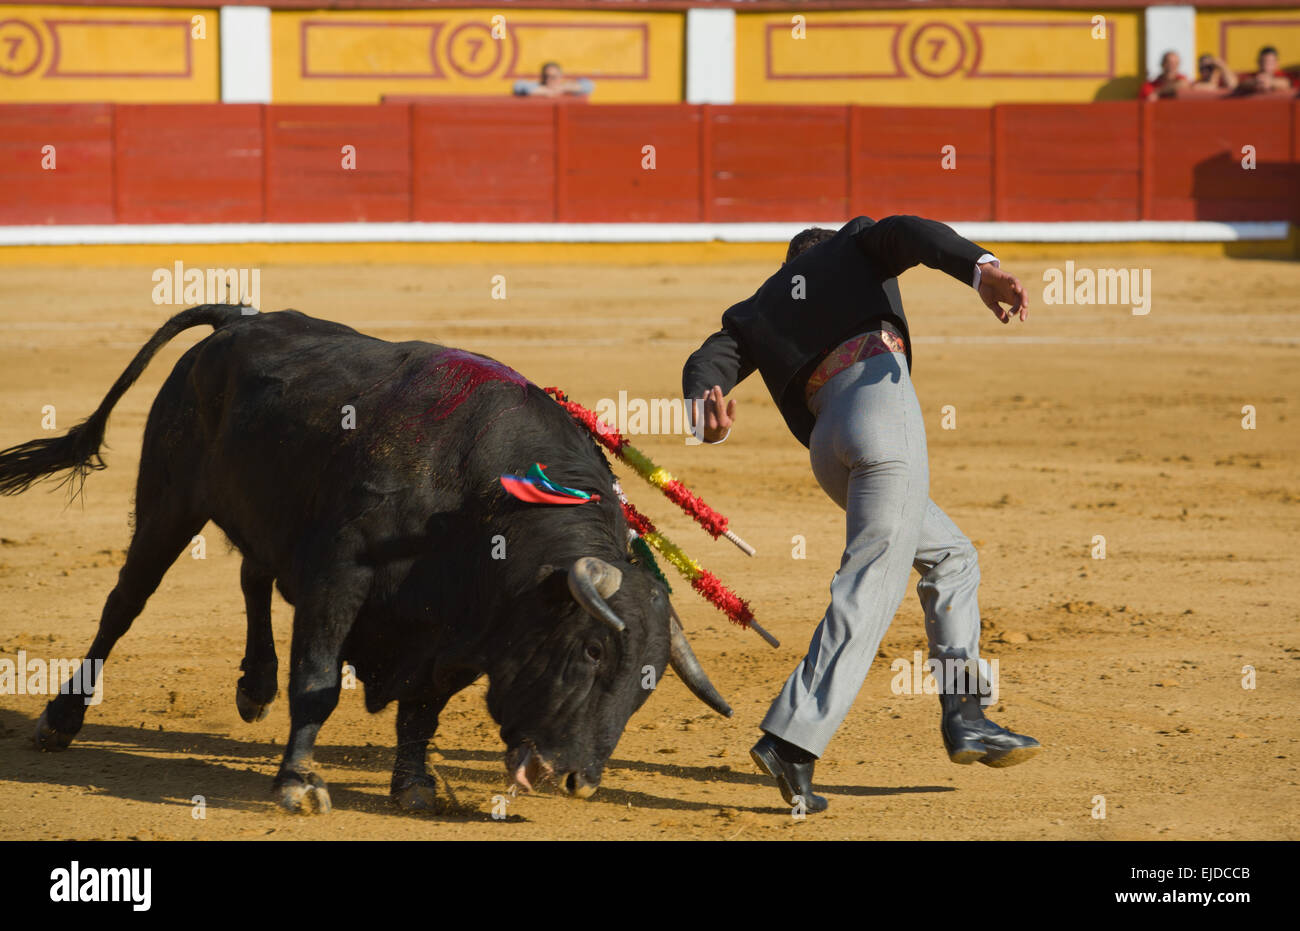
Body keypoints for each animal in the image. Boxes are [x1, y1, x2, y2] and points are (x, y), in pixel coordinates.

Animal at [0, 305, 731, 814]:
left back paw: (254, 685)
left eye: (647, 683)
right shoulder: (341, 574)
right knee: (125, 602)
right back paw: (61, 718)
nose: (576, 779)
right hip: (169, 500)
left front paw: (413, 787)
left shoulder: (456, 633)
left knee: (252, 571)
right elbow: (319, 681)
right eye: (591, 650)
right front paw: (298, 784)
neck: (481, 502)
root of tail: (238, 317)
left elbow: (422, 708)